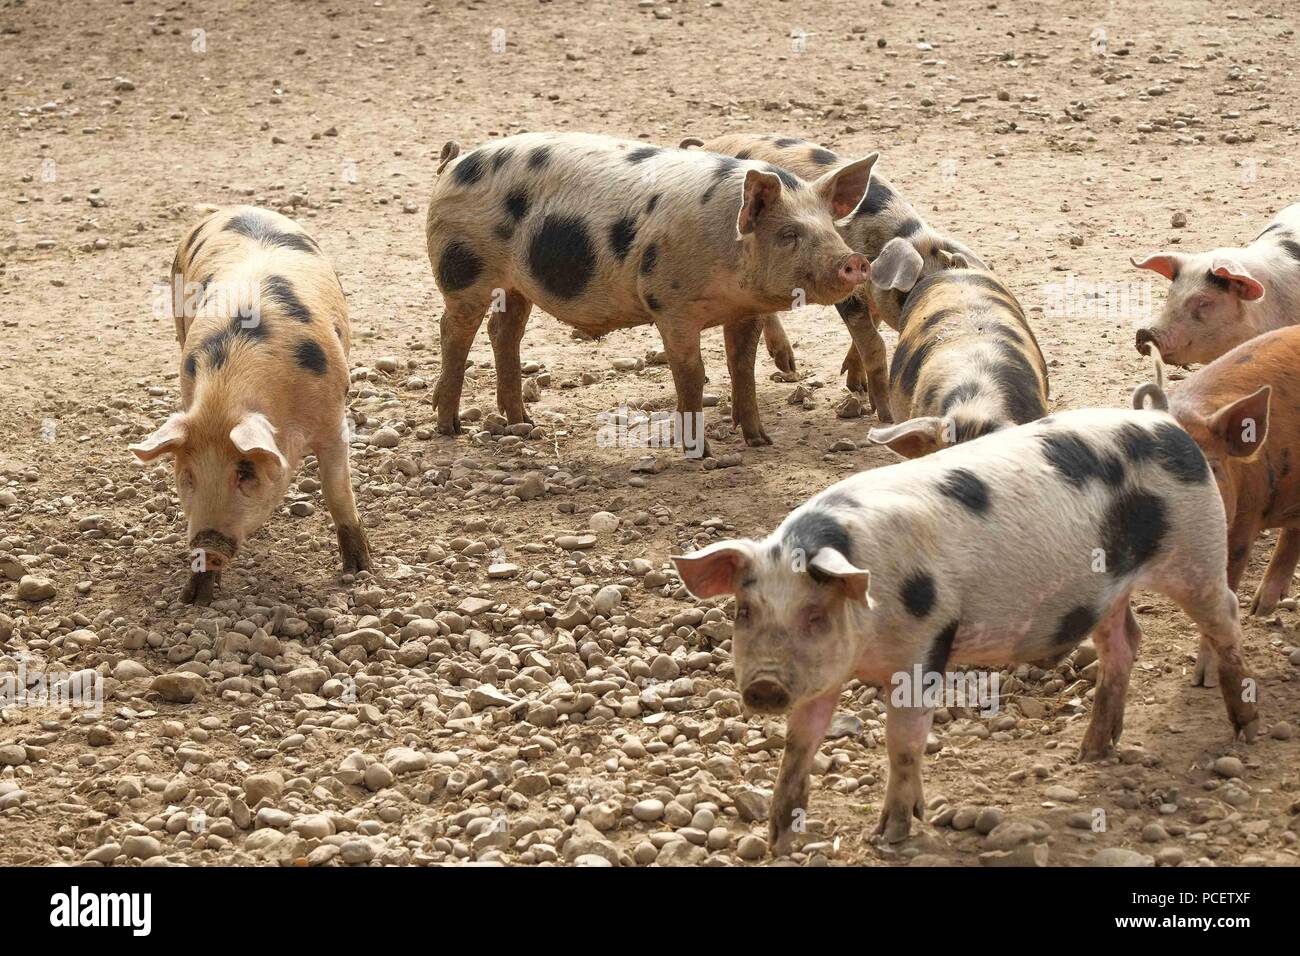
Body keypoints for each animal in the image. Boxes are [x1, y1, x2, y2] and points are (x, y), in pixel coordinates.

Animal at [130, 206, 371, 604]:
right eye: (187, 475)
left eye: (245, 473)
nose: (208, 542)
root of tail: (235, 208)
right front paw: (195, 599)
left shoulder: (334, 420)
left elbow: (337, 491)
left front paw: (360, 570)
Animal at [425, 133, 875, 457]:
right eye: (788, 234)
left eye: (830, 227)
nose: (854, 260)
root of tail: (453, 164)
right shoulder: (670, 306)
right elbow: (691, 375)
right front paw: (702, 453)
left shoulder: (744, 310)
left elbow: (741, 367)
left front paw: (760, 440)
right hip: (463, 269)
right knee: (453, 330)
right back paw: (449, 427)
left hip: (517, 283)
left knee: (505, 331)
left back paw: (526, 423)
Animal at [673, 407, 1257, 851]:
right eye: (745, 611)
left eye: (815, 614)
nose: (764, 687)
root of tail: (1166, 423)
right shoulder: (824, 674)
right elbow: (800, 743)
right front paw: (777, 840)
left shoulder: (926, 647)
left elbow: (902, 743)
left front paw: (889, 837)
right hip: (1108, 590)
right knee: (1124, 643)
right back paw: (1090, 752)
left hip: (1198, 552)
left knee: (1227, 617)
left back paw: (1243, 729)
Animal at [681, 134, 986, 421]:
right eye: (911, 293)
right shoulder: (847, 292)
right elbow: (874, 344)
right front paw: (884, 413)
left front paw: (857, 386)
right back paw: (787, 367)